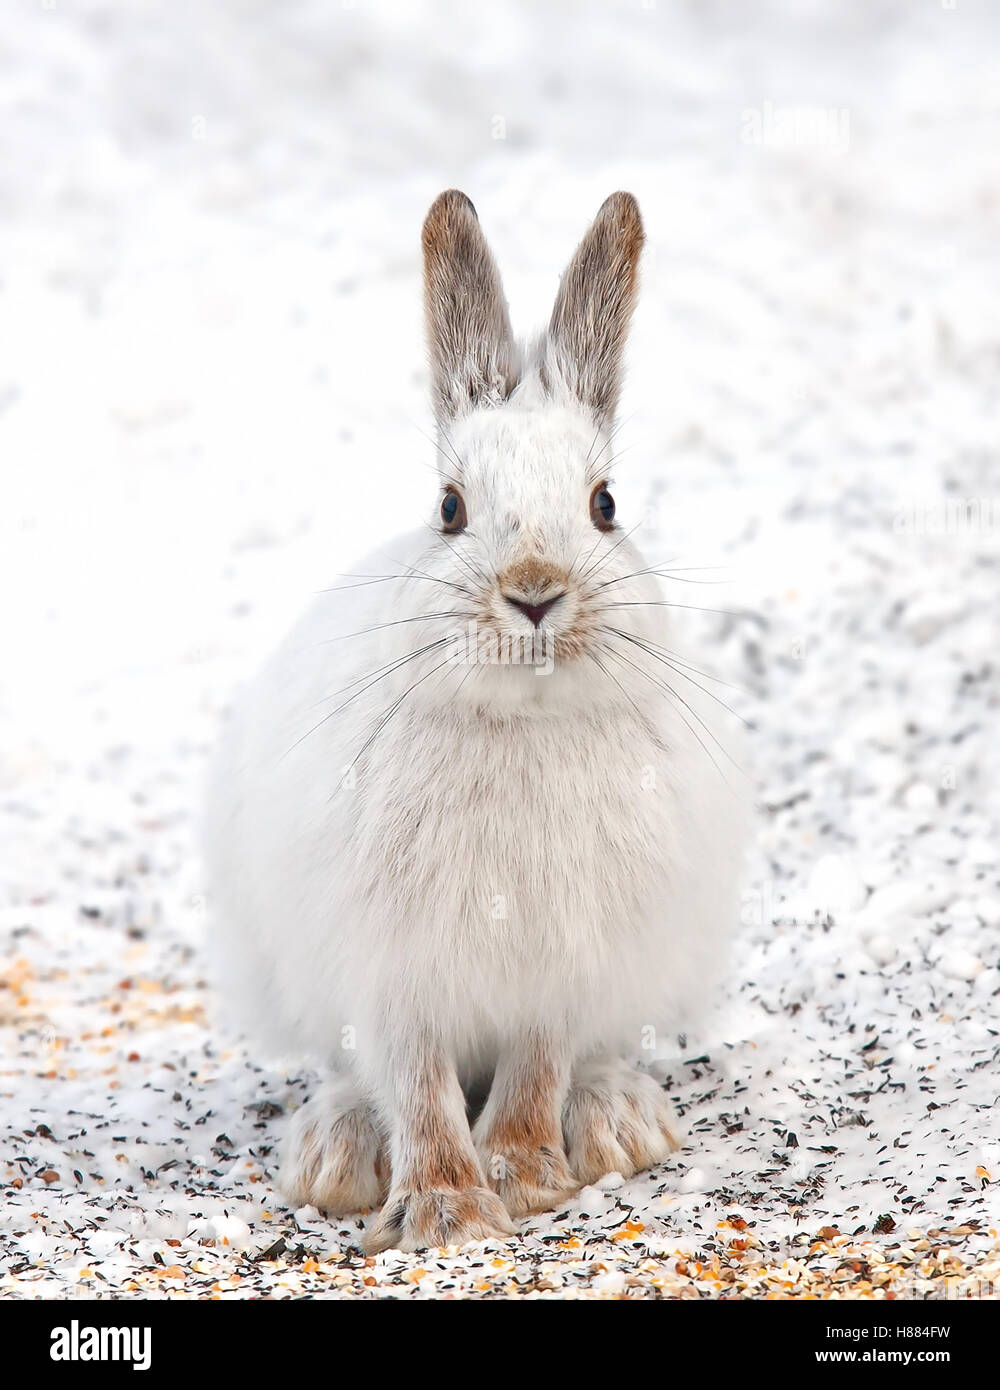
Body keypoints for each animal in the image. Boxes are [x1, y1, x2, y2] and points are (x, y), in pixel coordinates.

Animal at [203, 189, 748, 1253]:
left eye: (605, 505)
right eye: (451, 507)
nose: (534, 594)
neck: (524, 723)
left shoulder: (563, 963)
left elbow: (537, 1066)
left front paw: (523, 1176)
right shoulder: (393, 970)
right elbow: (416, 1086)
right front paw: (448, 1213)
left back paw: (617, 1121)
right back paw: (336, 1154)